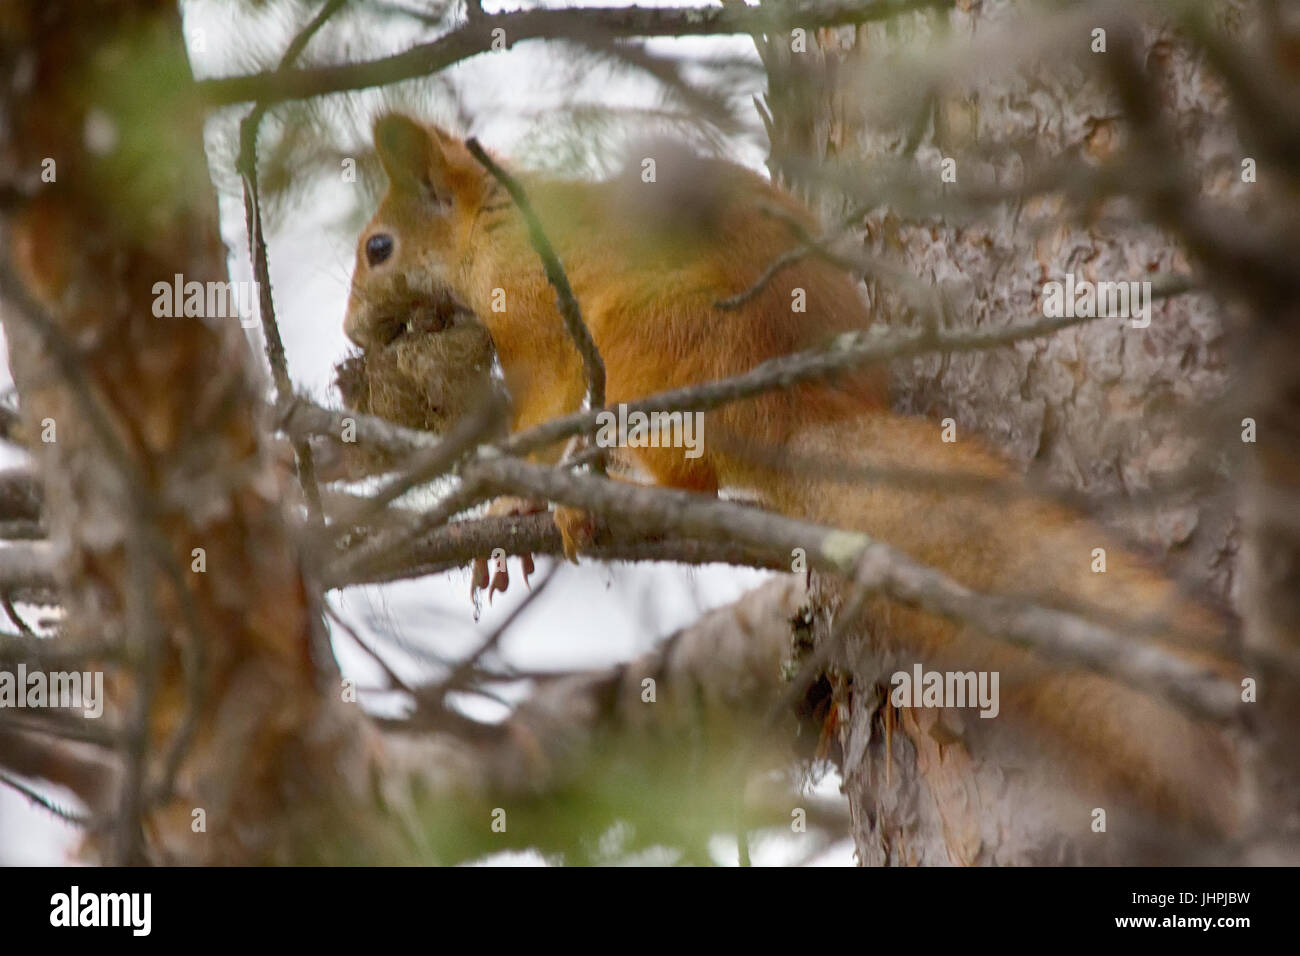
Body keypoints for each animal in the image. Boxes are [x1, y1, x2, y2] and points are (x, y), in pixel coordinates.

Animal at [342, 114, 1246, 861]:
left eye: (378, 247)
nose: (351, 330)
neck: (495, 226)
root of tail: (799, 411)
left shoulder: (546, 334)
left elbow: (550, 411)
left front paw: (516, 500)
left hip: (644, 339)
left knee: (692, 475)